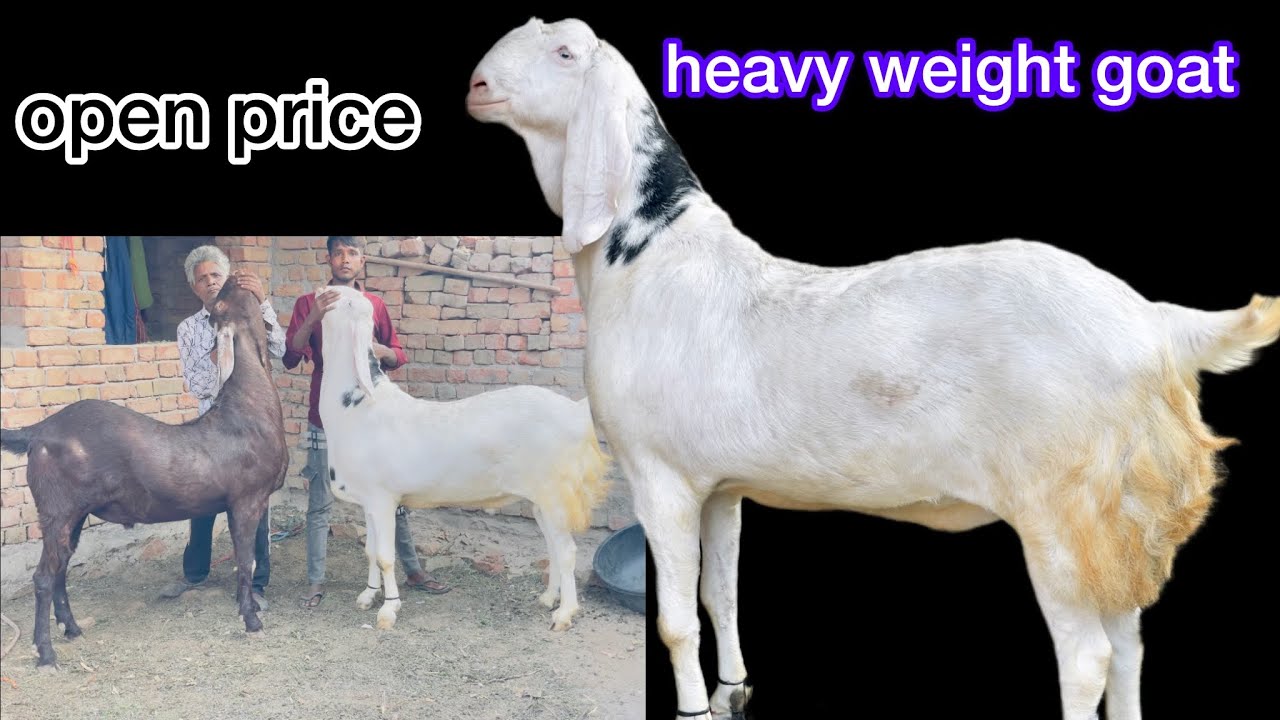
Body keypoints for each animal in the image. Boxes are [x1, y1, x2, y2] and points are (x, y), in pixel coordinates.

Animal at [0, 282, 289, 669]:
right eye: (224, 303)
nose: (232, 282)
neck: (247, 406)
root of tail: (39, 431)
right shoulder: (247, 499)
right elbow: (245, 559)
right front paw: (251, 619)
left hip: (72, 514)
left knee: (60, 570)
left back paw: (72, 629)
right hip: (58, 509)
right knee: (45, 577)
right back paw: (46, 653)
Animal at [313, 284, 611, 632]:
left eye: (340, 297)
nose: (320, 289)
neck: (359, 406)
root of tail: (575, 411)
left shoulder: (382, 498)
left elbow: (386, 557)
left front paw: (389, 609)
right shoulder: (369, 501)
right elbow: (371, 552)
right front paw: (368, 595)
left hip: (555, 493)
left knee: (566, 551)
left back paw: (564, 614)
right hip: (541, 499)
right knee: (552, 544)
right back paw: (549, 598)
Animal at [466, 17, 1280, 720]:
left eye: (566, 53)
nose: (477, 85)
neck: (644, 252)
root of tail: (1151, 323)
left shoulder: (657, 473)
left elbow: (673, 622)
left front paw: (694, 708)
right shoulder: (719, 485)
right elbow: (721, 595)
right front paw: (733, 690)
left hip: (1061, 504)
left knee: (1089, 659)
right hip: (1116, 514)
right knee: (1130, 643)